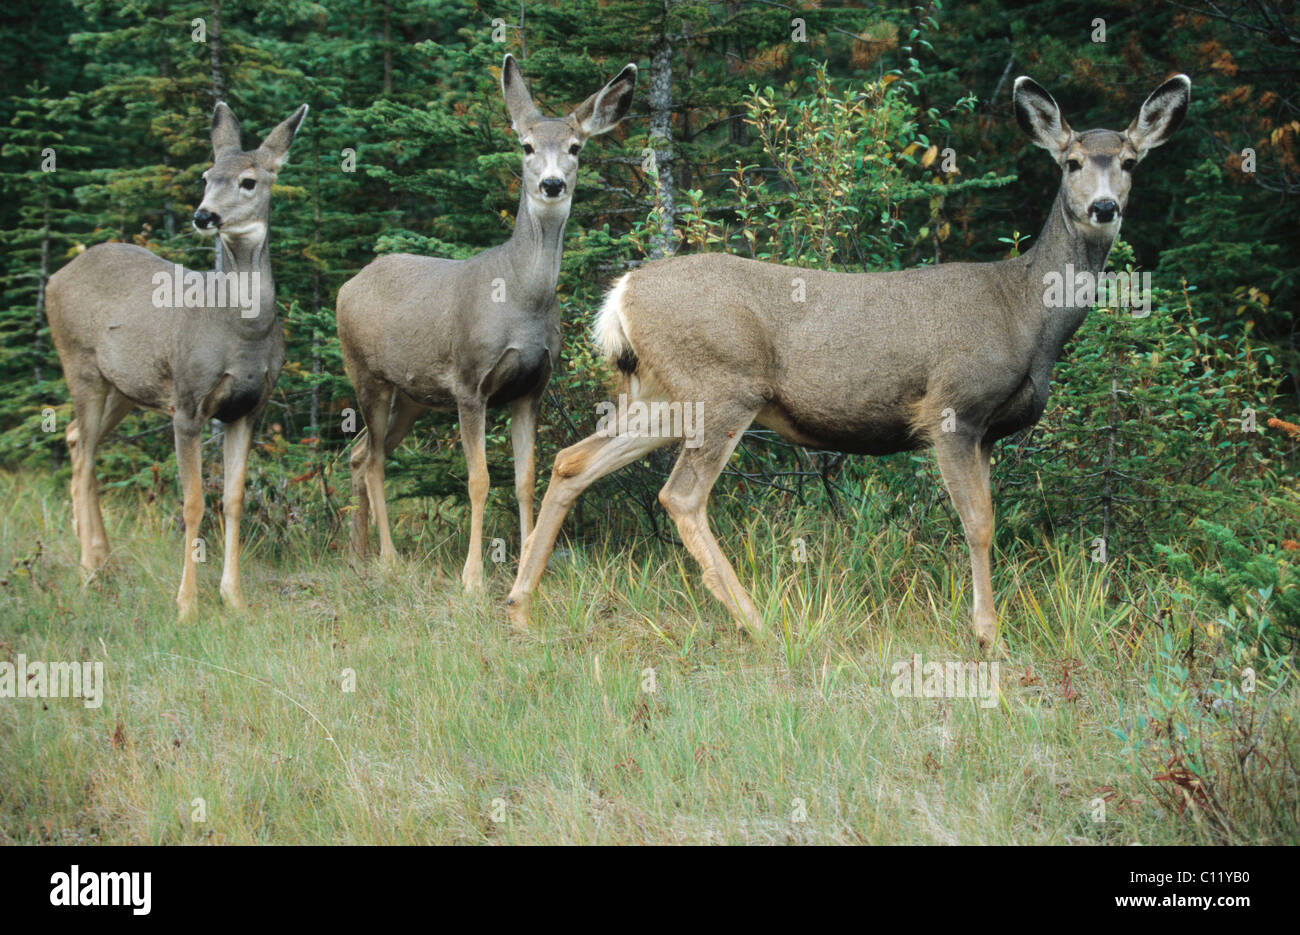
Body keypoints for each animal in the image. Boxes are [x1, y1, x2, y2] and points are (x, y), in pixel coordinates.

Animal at [46, 101, 309, 619]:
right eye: (206, 176)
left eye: (249, 180)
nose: (203, 215)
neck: (240, 330)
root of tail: (55, 277)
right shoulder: (187, 402)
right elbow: (192, 503)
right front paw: (186, 604)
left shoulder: (248, 407)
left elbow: (232, 499)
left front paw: (235, 598)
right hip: (80, 366)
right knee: (83, 456)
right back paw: (88, 569)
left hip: (123, 386)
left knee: (75, 439)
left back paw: (104, 558)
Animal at [337, 54, 636, 589]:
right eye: (526, 146)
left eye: (576, 147)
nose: (552, 183)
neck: (521, 298)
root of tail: (347, 286)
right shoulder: (469, 382)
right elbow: (479, 479)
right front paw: (472, 577)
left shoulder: (531, 388)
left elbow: (525, 478)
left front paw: (526, 563)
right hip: (367, 374)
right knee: (372, 459)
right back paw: (387, 558)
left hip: (412, 396)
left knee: (359, 452)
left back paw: (358, 553)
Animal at [506, 74, 1191, 651]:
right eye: (1071, 162)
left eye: (1129, 162)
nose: (1103, 207)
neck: (1024, 312)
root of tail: (623, 291)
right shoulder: (952, 407)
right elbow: (978, 524)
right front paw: (988, 635)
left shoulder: (989, 432)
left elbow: (986, 520)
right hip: (722, 386)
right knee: (680, 496)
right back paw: (756, 621)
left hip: (663, 395)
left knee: (573, 461)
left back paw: (519, 606)